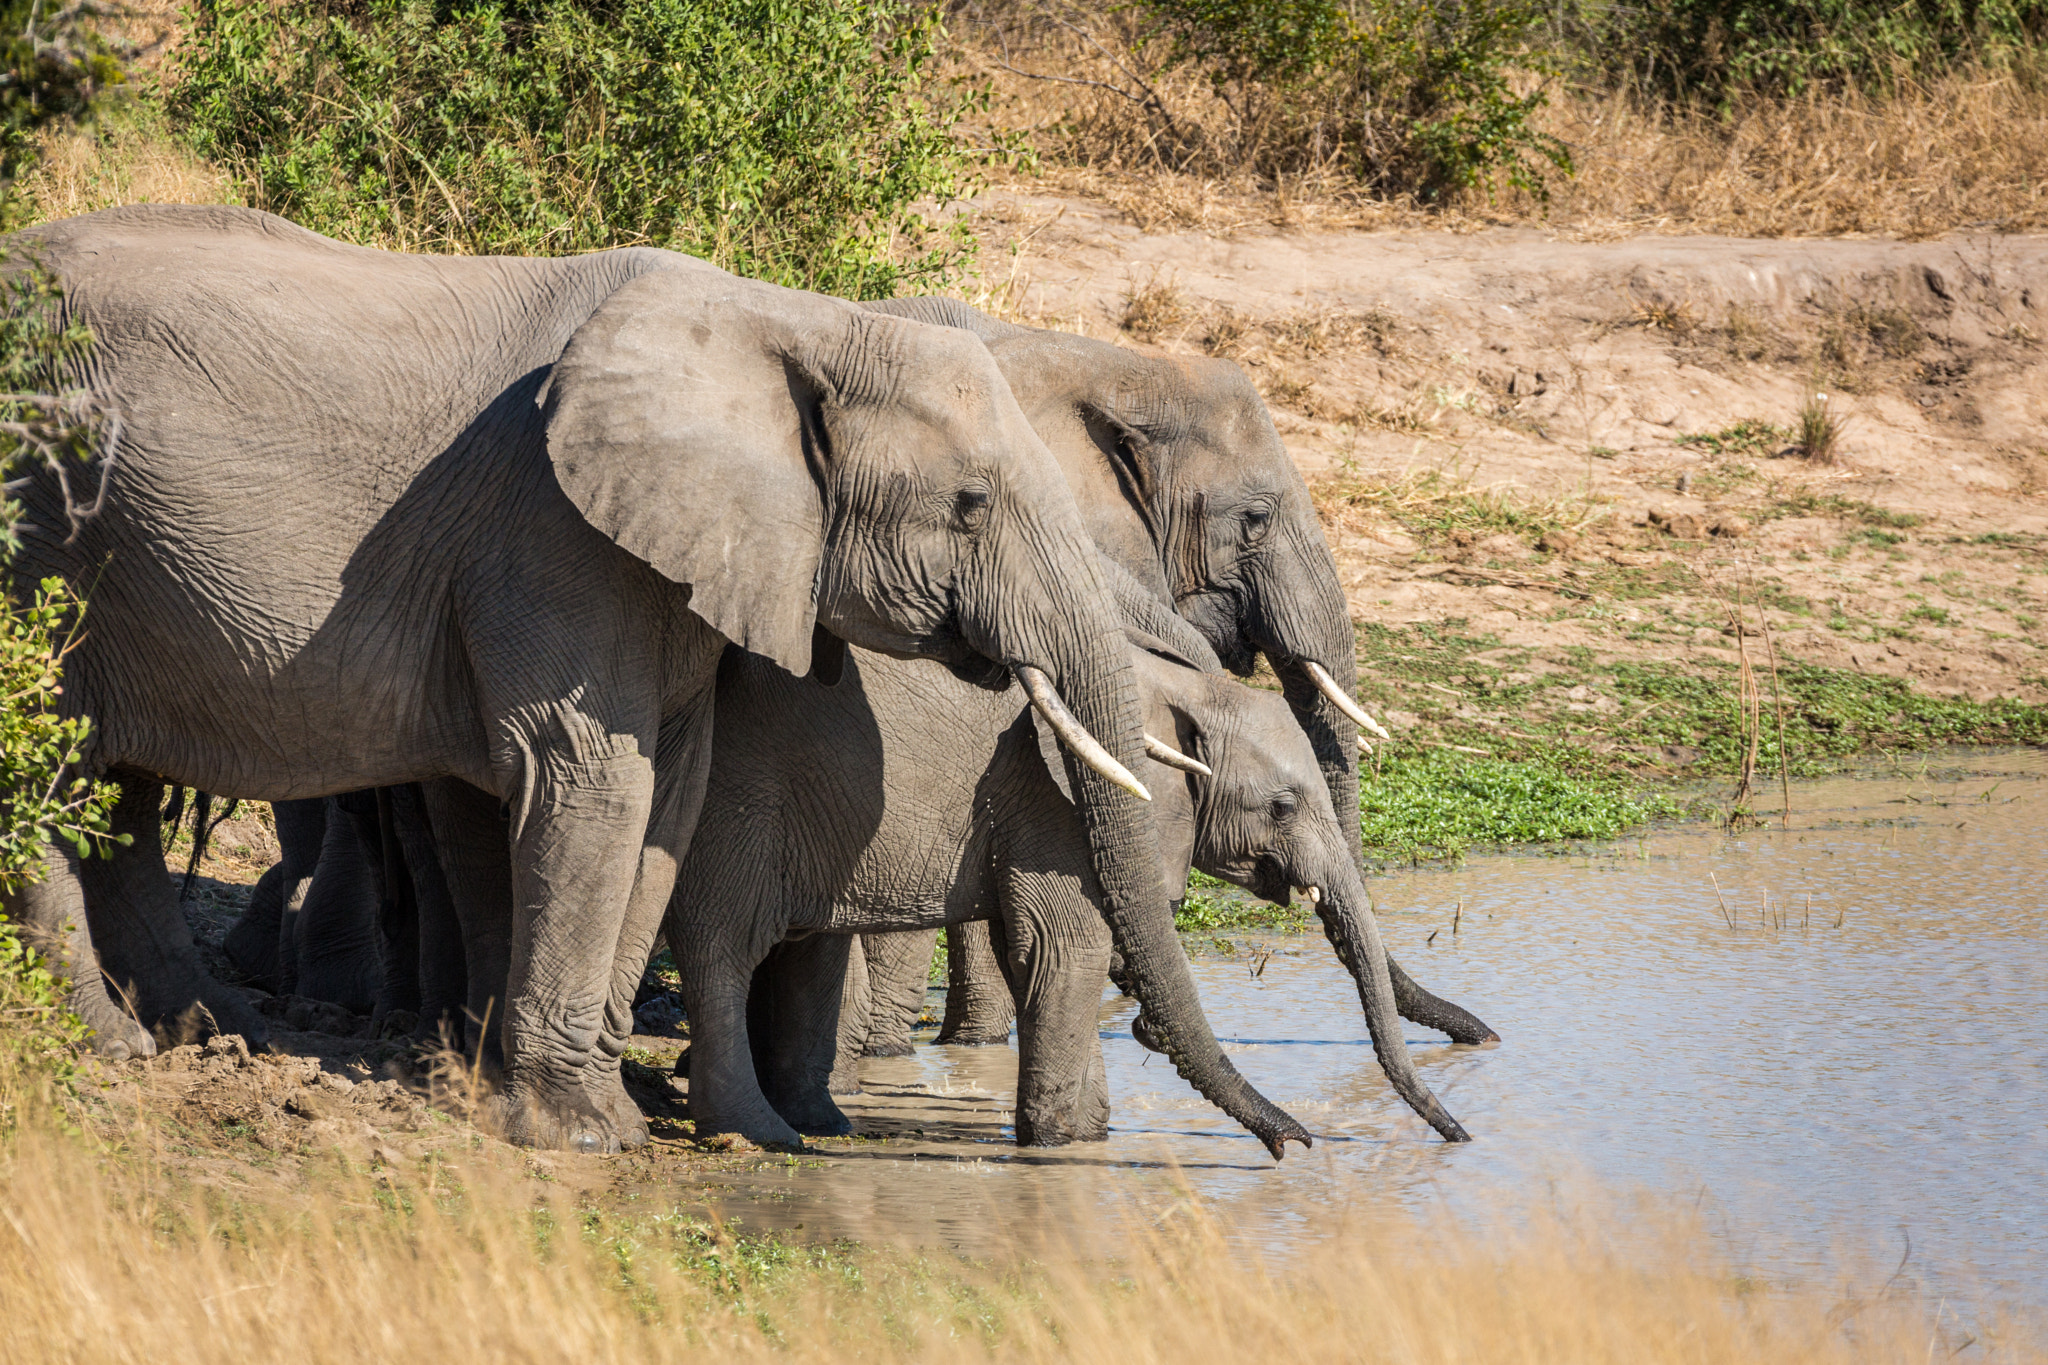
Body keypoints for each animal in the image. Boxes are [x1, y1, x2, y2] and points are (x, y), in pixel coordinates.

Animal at [8, 205, 1302, 1154]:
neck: (786, 318)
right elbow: (588, 776)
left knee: (112, 793)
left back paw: (203, 1031)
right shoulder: (551, 531)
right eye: (968, 506)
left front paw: (597, 1105)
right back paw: (114, 1047)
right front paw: (580, 1135)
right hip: (42, 529)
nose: (1293, 1145)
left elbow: (668, 795)